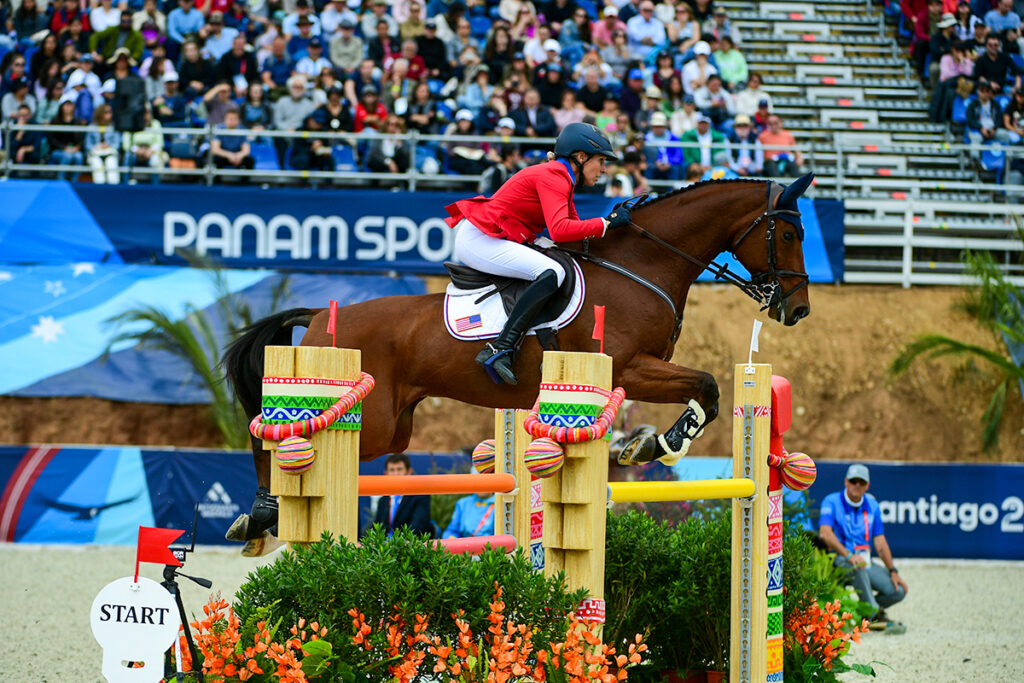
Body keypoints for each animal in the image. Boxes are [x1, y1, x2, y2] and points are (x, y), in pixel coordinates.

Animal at [224, 174, 815, 553]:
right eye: (789, 233)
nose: (798, 310)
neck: (642, 265)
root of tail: (319, 319)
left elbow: (705, 393)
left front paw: (651, 444)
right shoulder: (626, 368)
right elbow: (708, 385)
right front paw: (657, 444)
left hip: (392, 429)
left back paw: (260, 517)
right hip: (368, 422)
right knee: (272, 435)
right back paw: (261, 516)